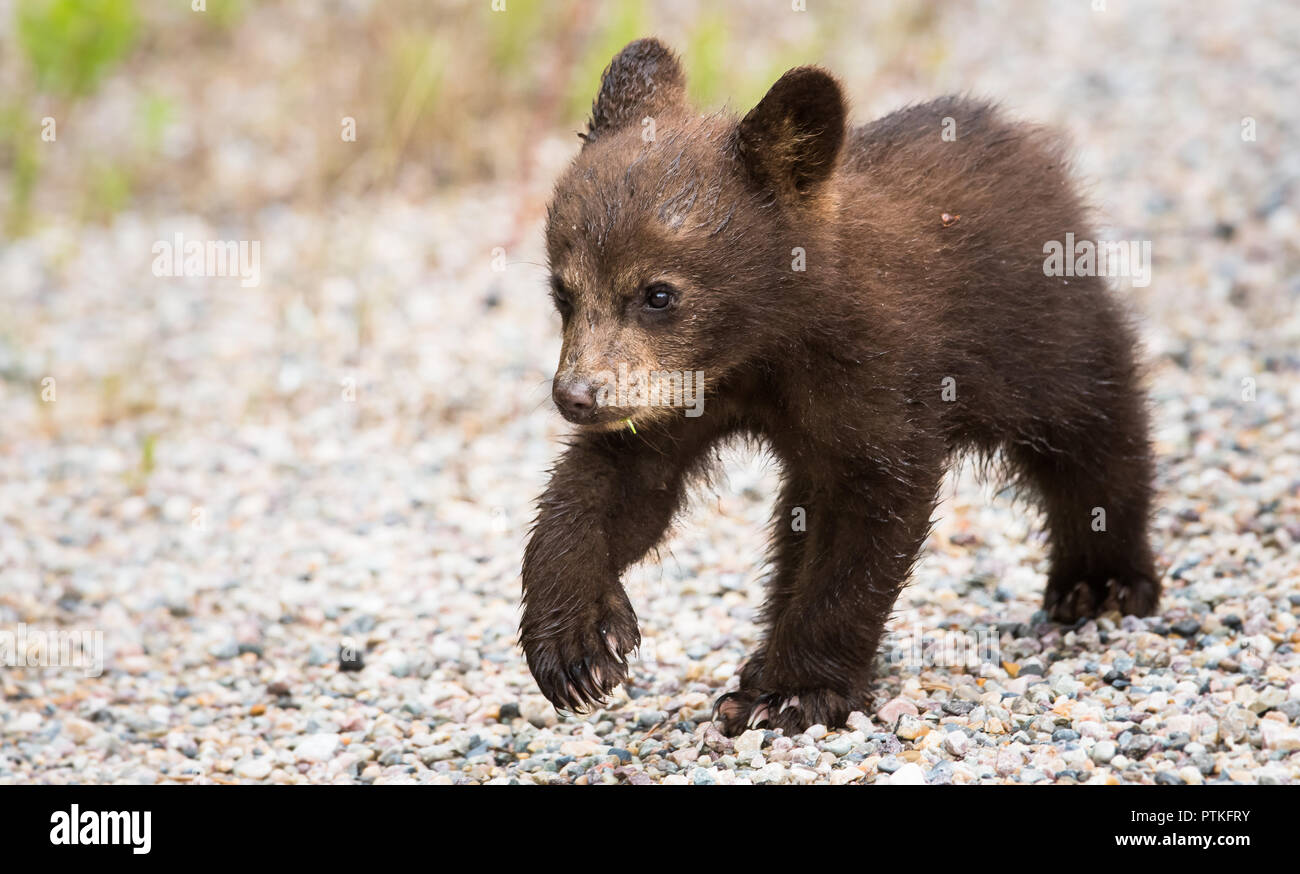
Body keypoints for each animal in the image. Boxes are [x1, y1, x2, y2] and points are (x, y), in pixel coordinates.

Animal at [520, 38, 1157, 736]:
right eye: (562, 292)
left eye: (658, 293)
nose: (576, 396)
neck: (767, 350)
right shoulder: (686, 387)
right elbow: (615, 484)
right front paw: (575, 643)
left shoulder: (877, 374)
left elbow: (865, 523)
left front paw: (795, 691)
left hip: (1040, 338)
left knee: (1092, 430)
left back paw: (1101, 581)